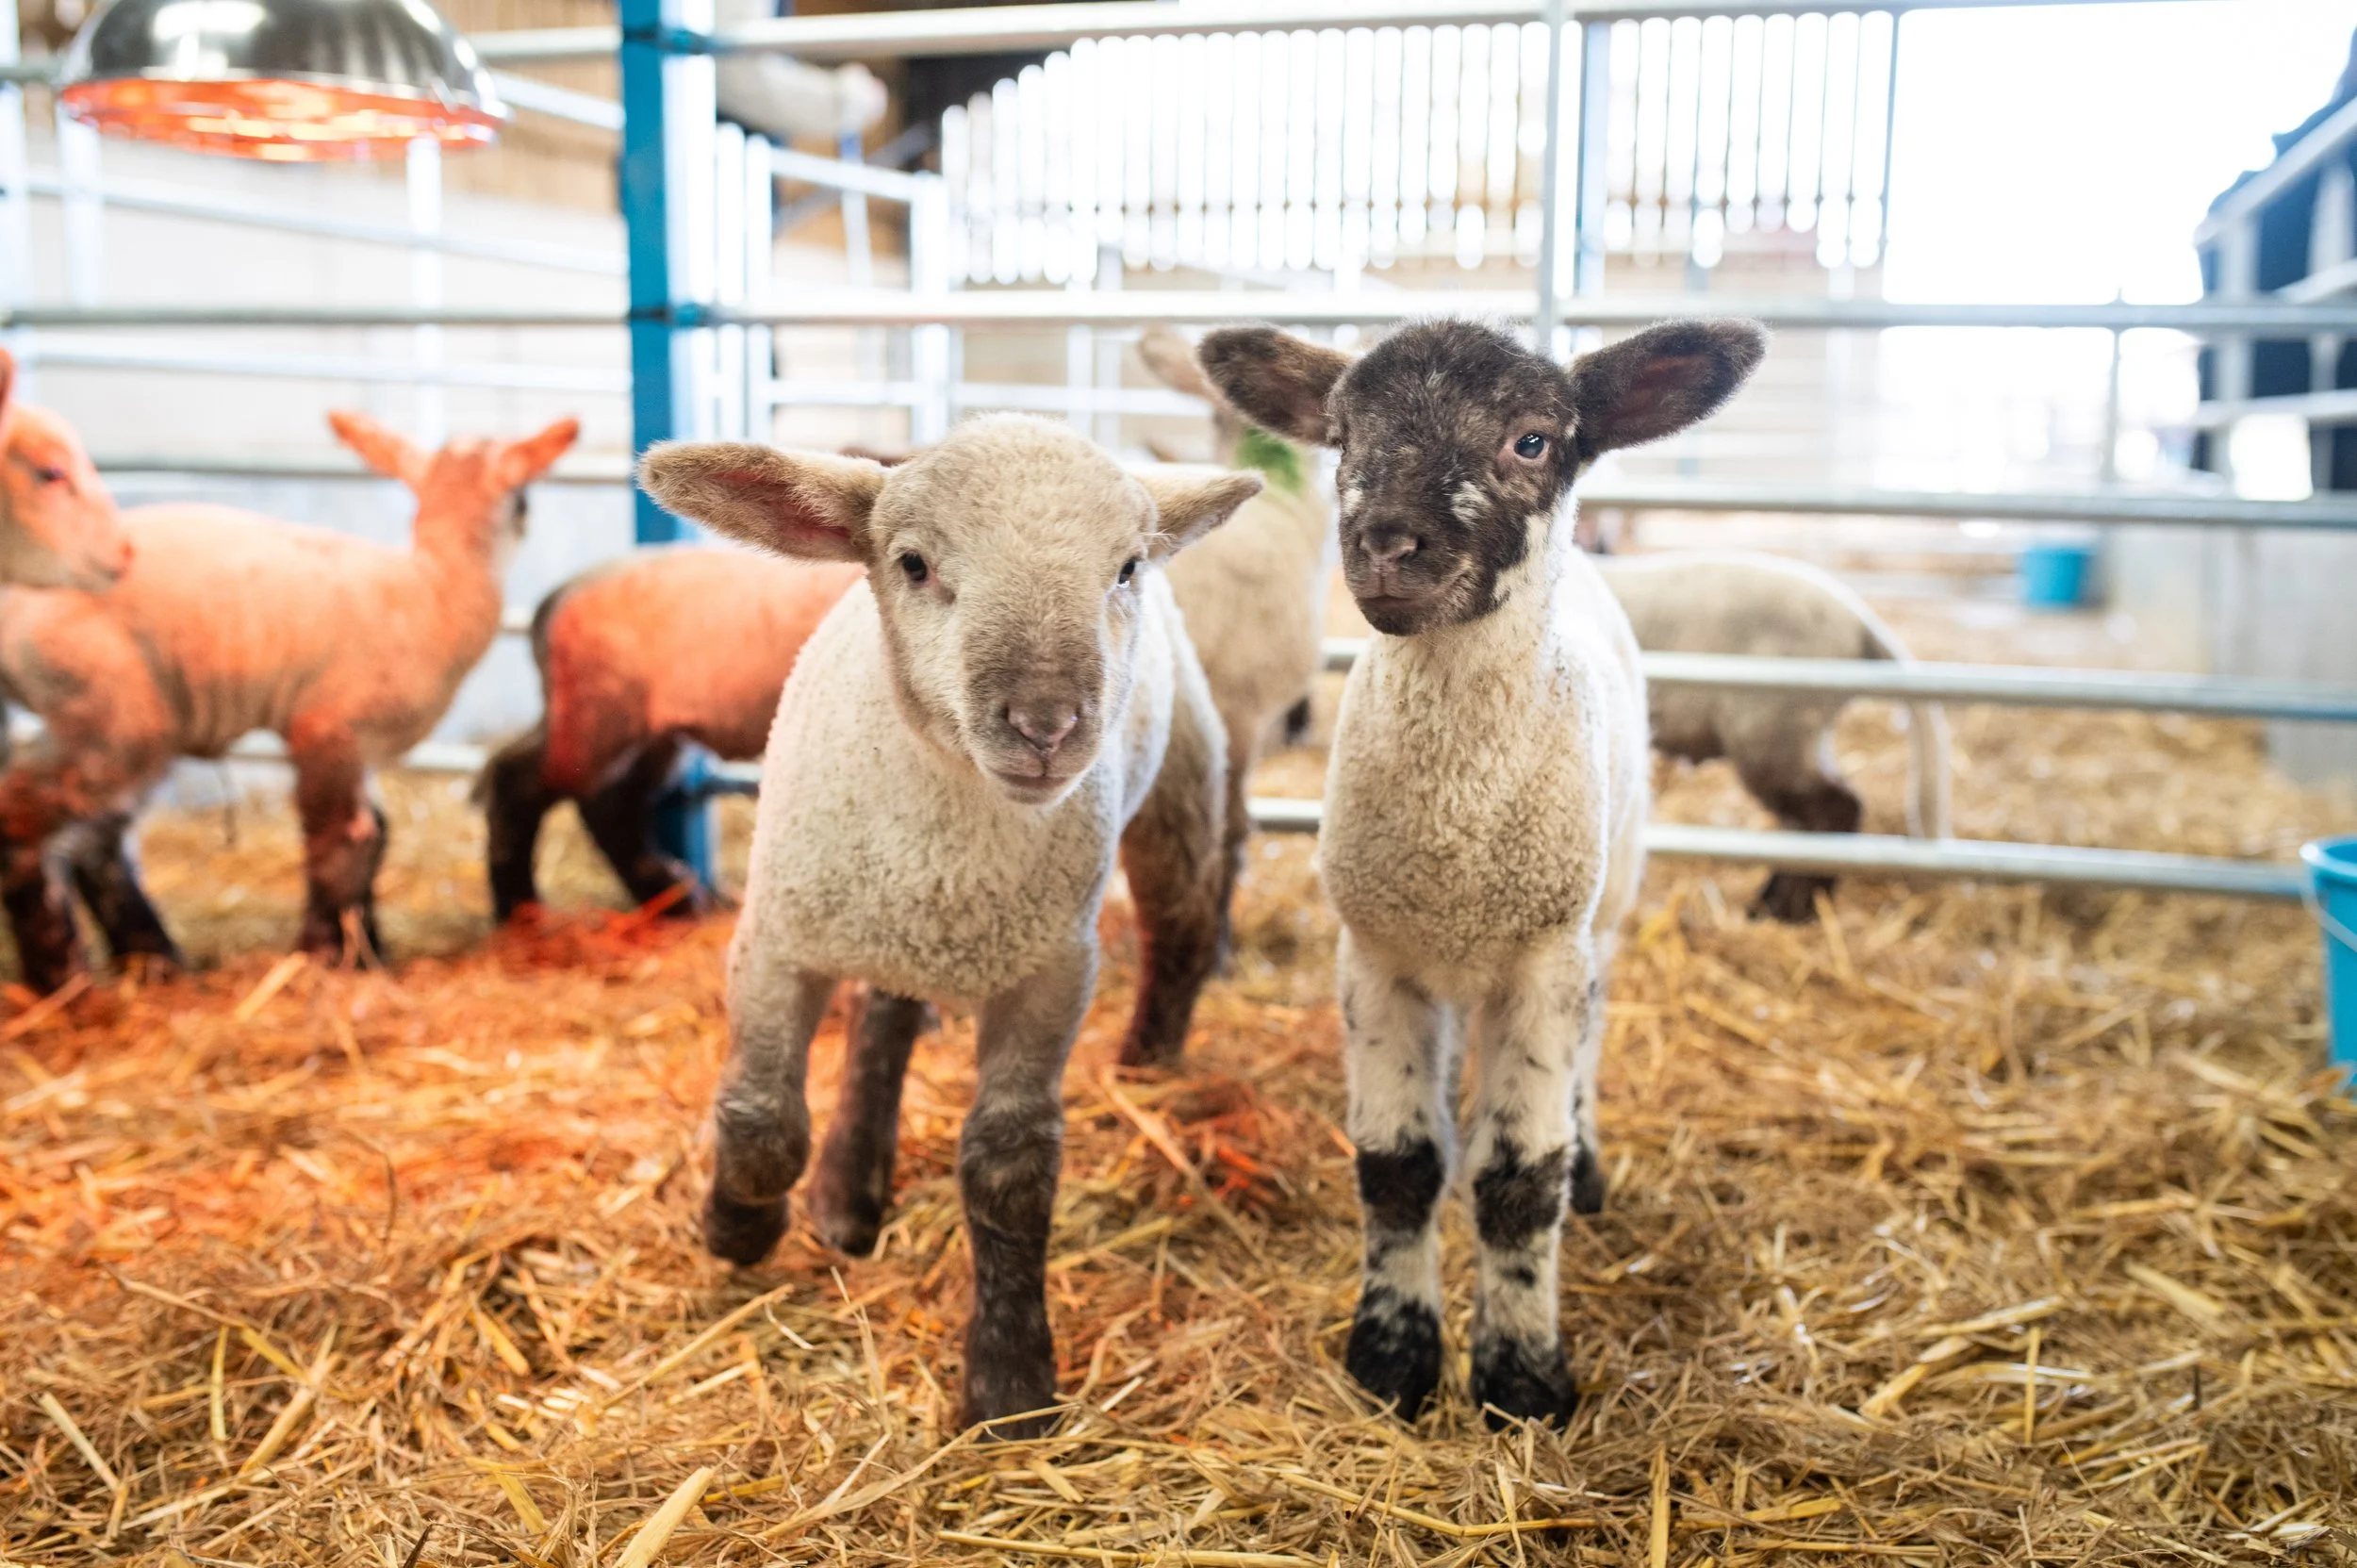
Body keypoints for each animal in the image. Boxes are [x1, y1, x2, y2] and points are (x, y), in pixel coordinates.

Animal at [0, 410, 577, 991]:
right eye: (524, 498)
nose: (526, 518)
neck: (435, 586)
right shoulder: (328, 724)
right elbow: (342, 840)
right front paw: (322, 955)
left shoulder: (363, 745)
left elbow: (378, 836)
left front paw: (368, 947)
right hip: (110, 712)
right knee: (27, 825)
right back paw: (63, 978)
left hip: (118, 719)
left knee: (99, 842)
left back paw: (157, 961)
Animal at [479, 549, 862, 921]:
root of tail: (551, 602)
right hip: (596, 715)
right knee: (528, 784)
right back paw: (522, 913)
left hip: (645, 733)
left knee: (609, 800)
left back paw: (681, 899)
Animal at [636, 414, 1261, 1433]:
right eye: (914, 563)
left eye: (1126, 566)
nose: (1045, 723)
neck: (949, 838)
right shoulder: (777, 937)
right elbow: (763, 1117)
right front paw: (737, 1228)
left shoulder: (1053, 975)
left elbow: (1009, 1166)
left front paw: (1010, 1382)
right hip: (877, 920)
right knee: (882, 1020)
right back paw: (847, 1193)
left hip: (1179, 792)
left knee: (1181, 929)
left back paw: (1149, 1058)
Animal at [1200, 315, 1766, 1427]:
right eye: (1342, 435)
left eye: (1532, 440)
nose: (1385, 543)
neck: (1456, 822)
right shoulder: (1374, 953)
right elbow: (1397, 1166)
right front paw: (1392, 1356)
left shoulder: (1543, 959)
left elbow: (1519, 1183)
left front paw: (1520, 1376)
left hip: (1606, 905)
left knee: (1592, 1038)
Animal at [1594, 550, 1953, 921]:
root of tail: (1859, 623)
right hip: (1804, 731)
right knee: (1804, 822)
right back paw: (1777, 902)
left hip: (1773, 728)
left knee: (1835, 807)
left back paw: (1791, 908)